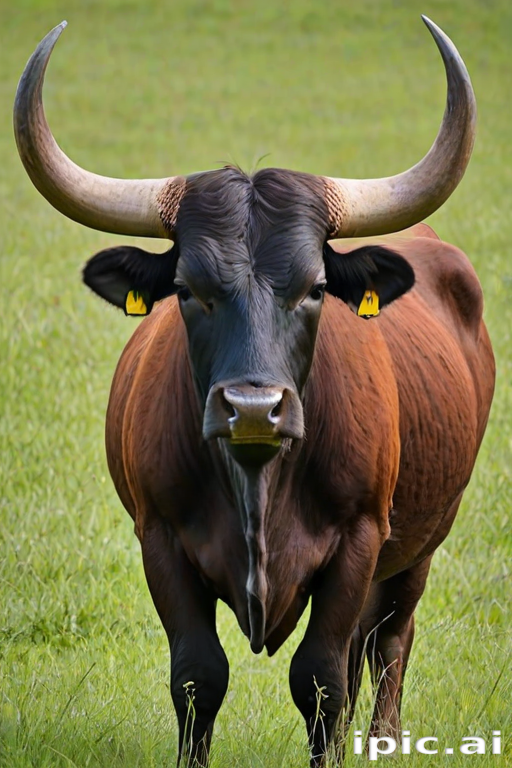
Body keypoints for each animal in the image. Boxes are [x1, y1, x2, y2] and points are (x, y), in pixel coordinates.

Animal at [14, 17, 495, 768]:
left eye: (315, 287)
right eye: (187, 290)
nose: (252, 410)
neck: (259, 480)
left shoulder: (360, 540)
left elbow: (321, 679)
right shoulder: (159, 539)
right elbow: (197, 676)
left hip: (423, 540)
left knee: (389, 639)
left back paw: (384, 741)